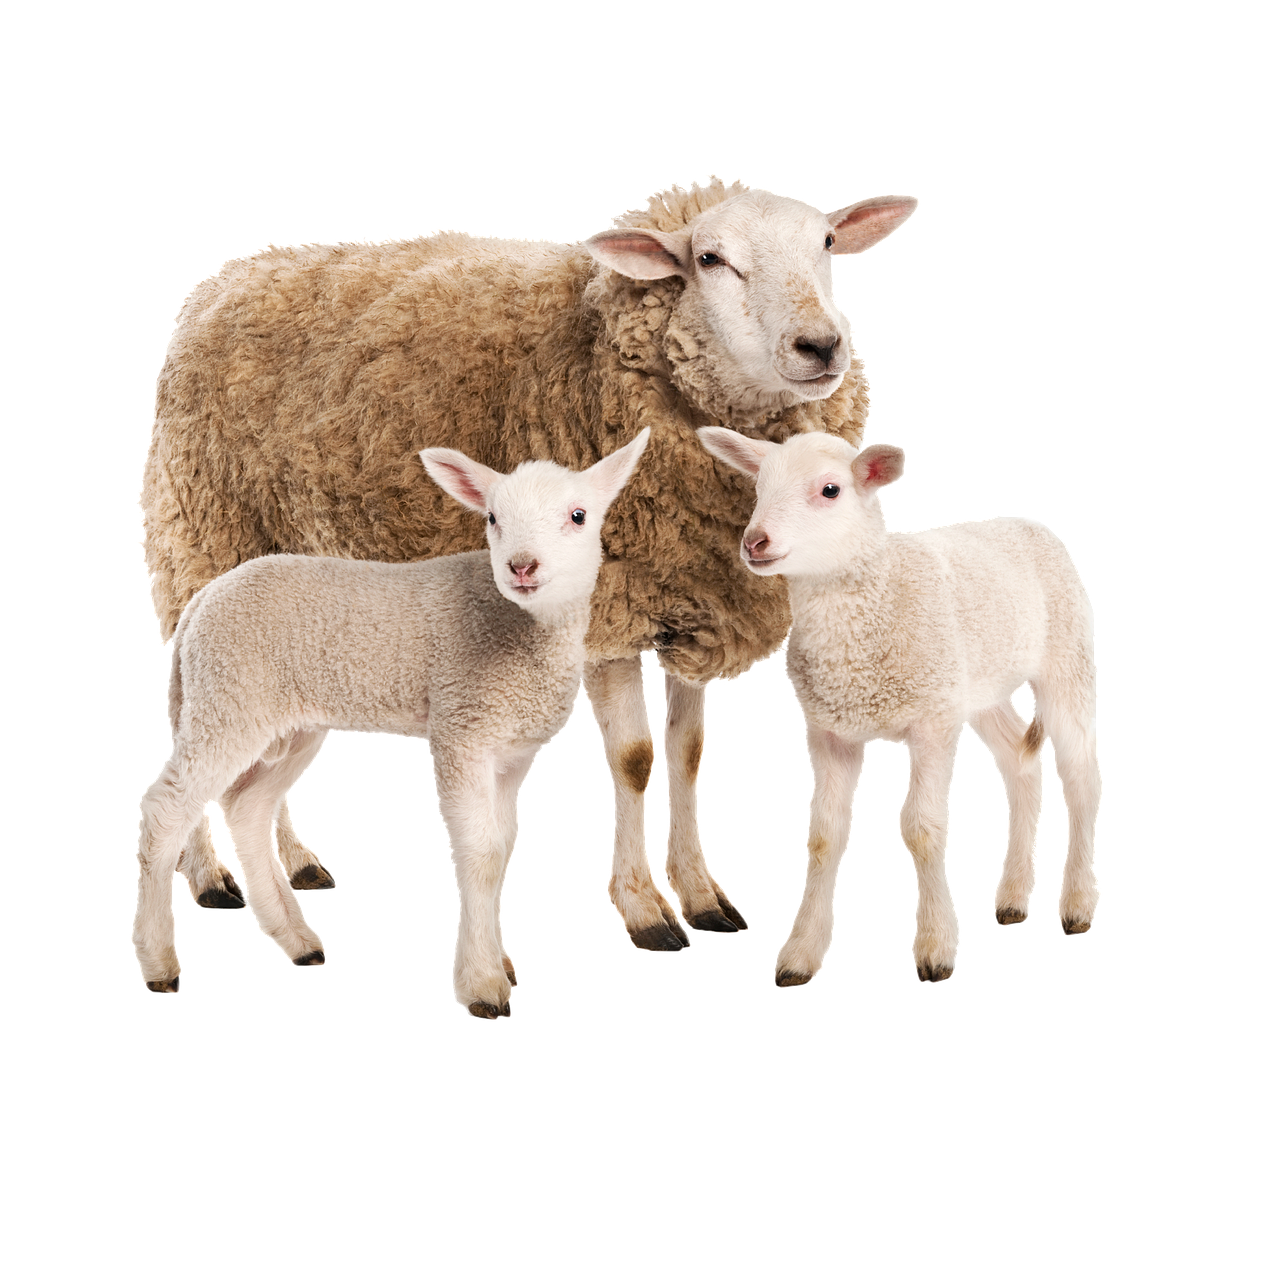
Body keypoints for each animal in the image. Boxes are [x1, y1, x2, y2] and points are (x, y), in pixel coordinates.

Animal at [132, 430, 651, 1017]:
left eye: (578, 515)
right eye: (492, 517)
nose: (521, 566)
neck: (522, 631)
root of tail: (201, 603)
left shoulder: (511, 749)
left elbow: (502, 849)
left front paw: (499, 962)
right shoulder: (461, 726)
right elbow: (478, 850)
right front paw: (481, 984)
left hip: (283, 720)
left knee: (247, 807)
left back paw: (297, 940)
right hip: (228, 698)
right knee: (167, 808)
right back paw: (159, 962)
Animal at [139, 177, 920, 953]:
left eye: (827, 244)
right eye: (709, 258)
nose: (821, 345)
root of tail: (225, 277)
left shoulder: (688, 595)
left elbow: (689, 750)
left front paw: (700, 894)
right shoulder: (610, 610)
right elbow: (635, 757)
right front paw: (645, 908)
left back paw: (294, 864)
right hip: (200, 549)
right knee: (191, 735)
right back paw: (207, 876)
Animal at [696, 428, 1102, 985]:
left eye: (830, 490)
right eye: (758, 488)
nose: (754, 542)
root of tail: (1027, 520)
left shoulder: (932, 721)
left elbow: (922, 828)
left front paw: (935, 947)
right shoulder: (830, 729)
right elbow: (823, 836)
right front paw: (800, 953)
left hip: (1066, 659)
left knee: (1082, 778)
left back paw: (1078, 904)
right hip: (977, 687)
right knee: (1020, 766)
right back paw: (1013, 899)